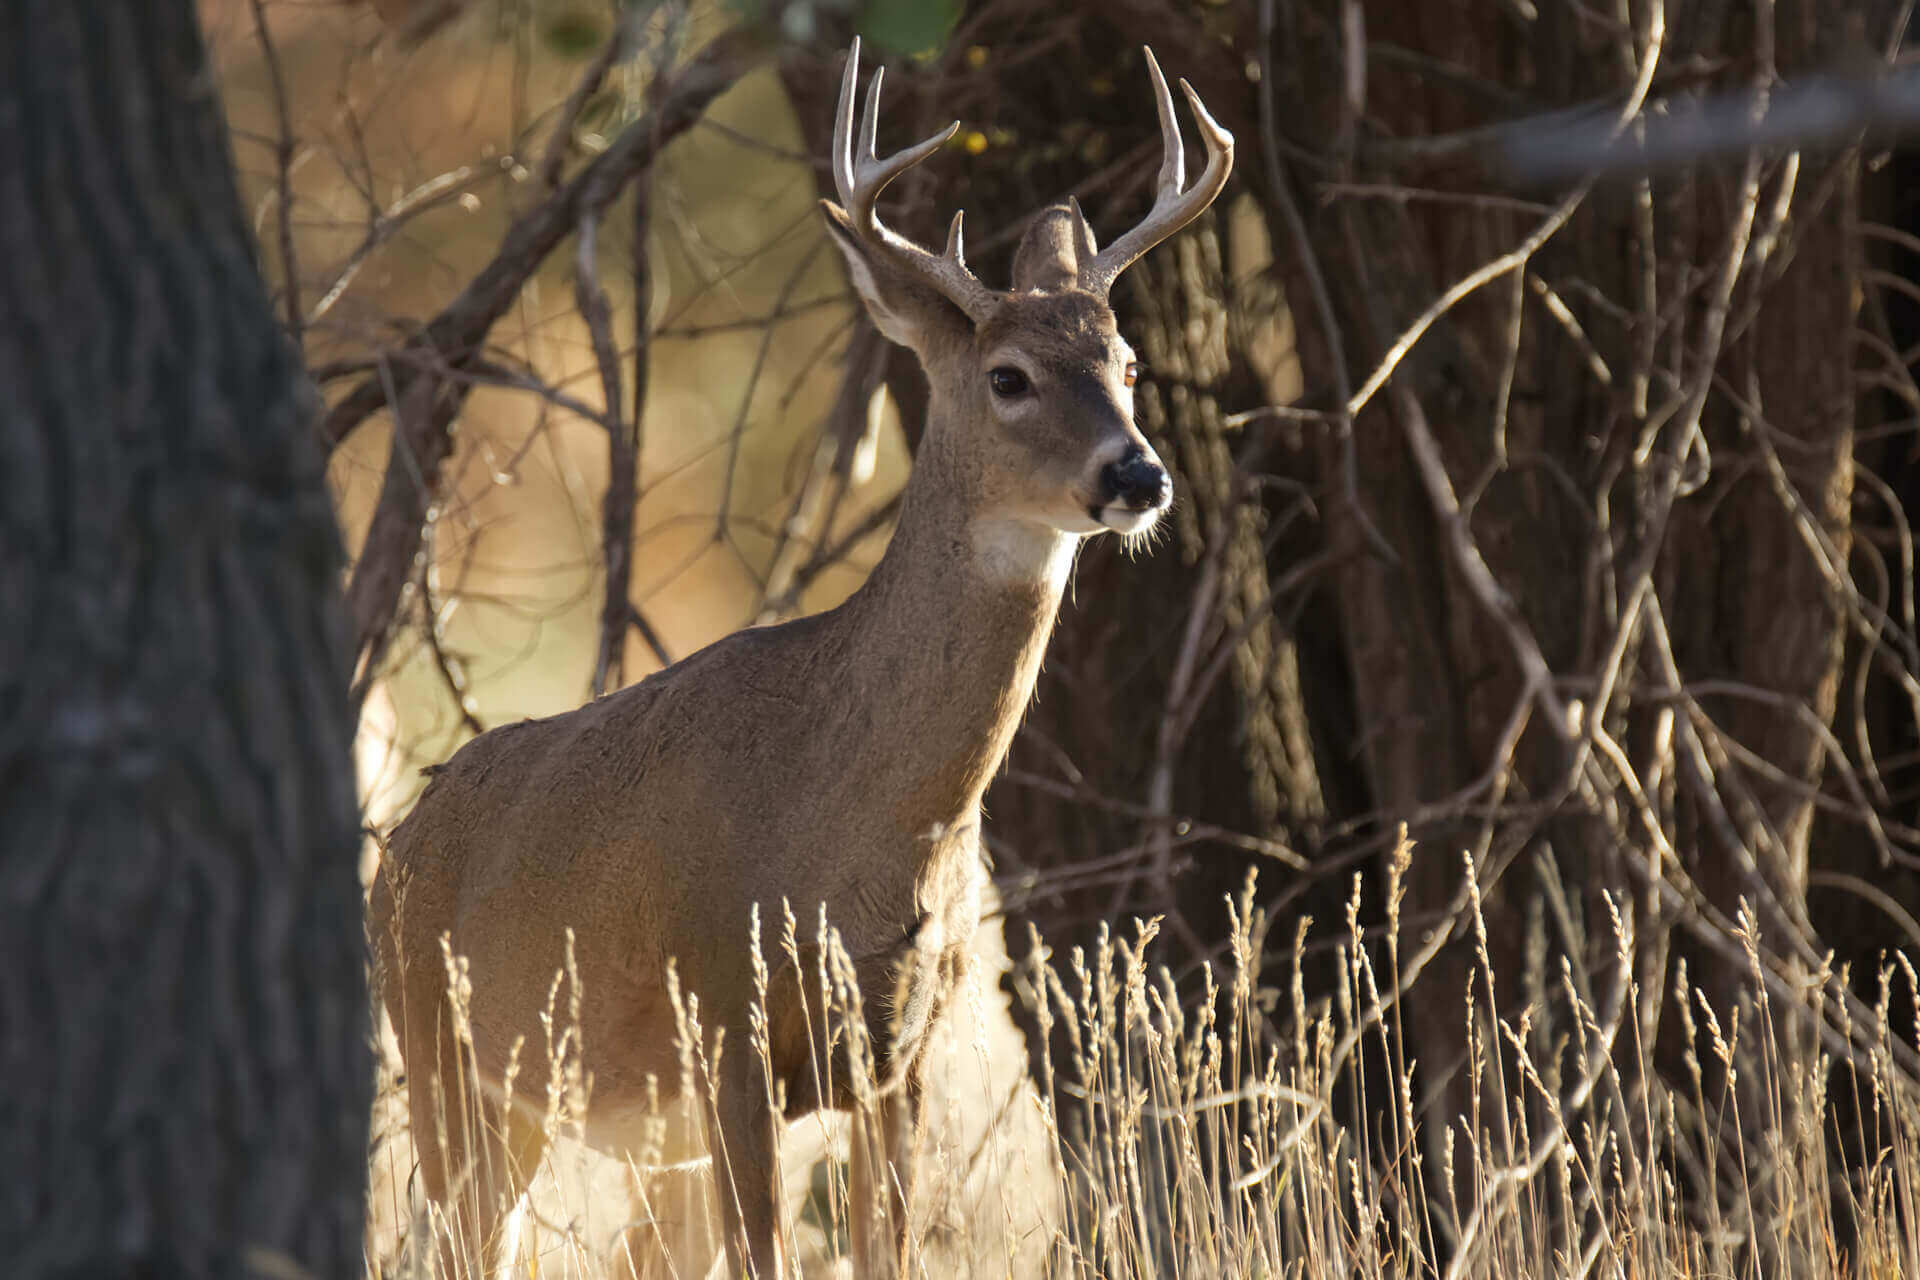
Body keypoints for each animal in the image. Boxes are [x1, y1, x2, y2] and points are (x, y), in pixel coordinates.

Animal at [369, 38, 1231, 1279]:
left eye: (1127, 357)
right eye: (1009, 375)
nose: (1139, 474)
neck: (861, 826)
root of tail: (397, 846)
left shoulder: (900, 1052)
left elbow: (887, 1250)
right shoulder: (723, 1018)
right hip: (453, 1067)